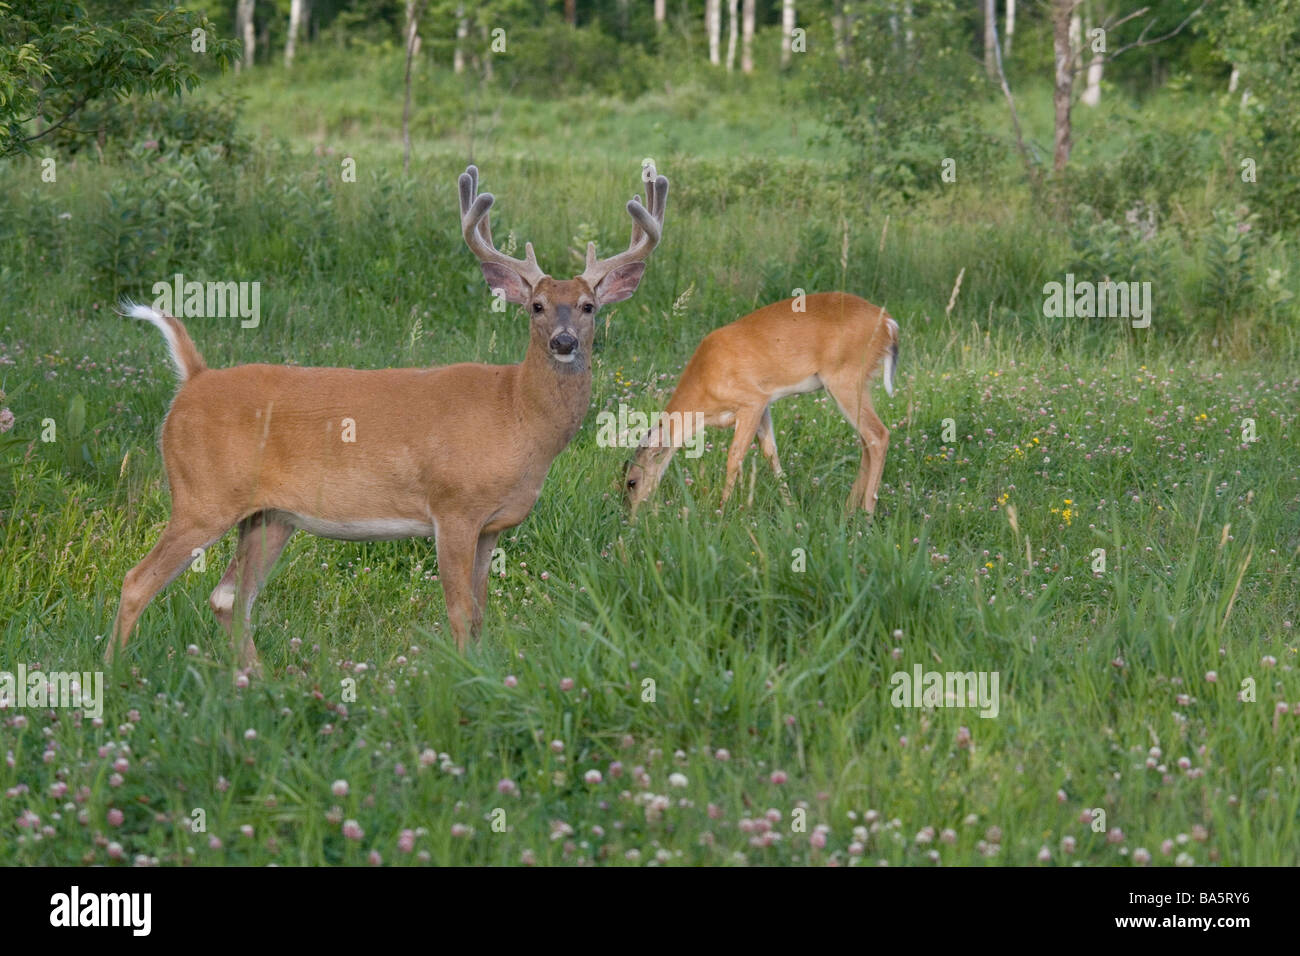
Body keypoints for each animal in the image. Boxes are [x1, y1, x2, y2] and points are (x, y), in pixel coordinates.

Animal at [109, 161, 668, 668]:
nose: (564, 341)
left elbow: (482, 613)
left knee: (229, 598)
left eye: (589, 305)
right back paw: (115, 674)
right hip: (202, 494)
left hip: (269, 516)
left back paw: (258, 680)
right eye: (536, 305)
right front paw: (466, 677)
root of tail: (194, 379)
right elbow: (461, 612)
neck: (517, 413)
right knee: (138, 580)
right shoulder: (453, 507)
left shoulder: (493, 525)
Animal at [623, 292, 898, 515]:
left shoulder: (751, 401)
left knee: (879, 434)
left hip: (846, 379)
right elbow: (770, 452)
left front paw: (722, 509)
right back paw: (850, 508)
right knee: (866, 440)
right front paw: (790, 507)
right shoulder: (764, 404)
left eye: (631, 482)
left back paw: (867, 512)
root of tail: (889, 324)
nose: (631, 516)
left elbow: (734, 457)